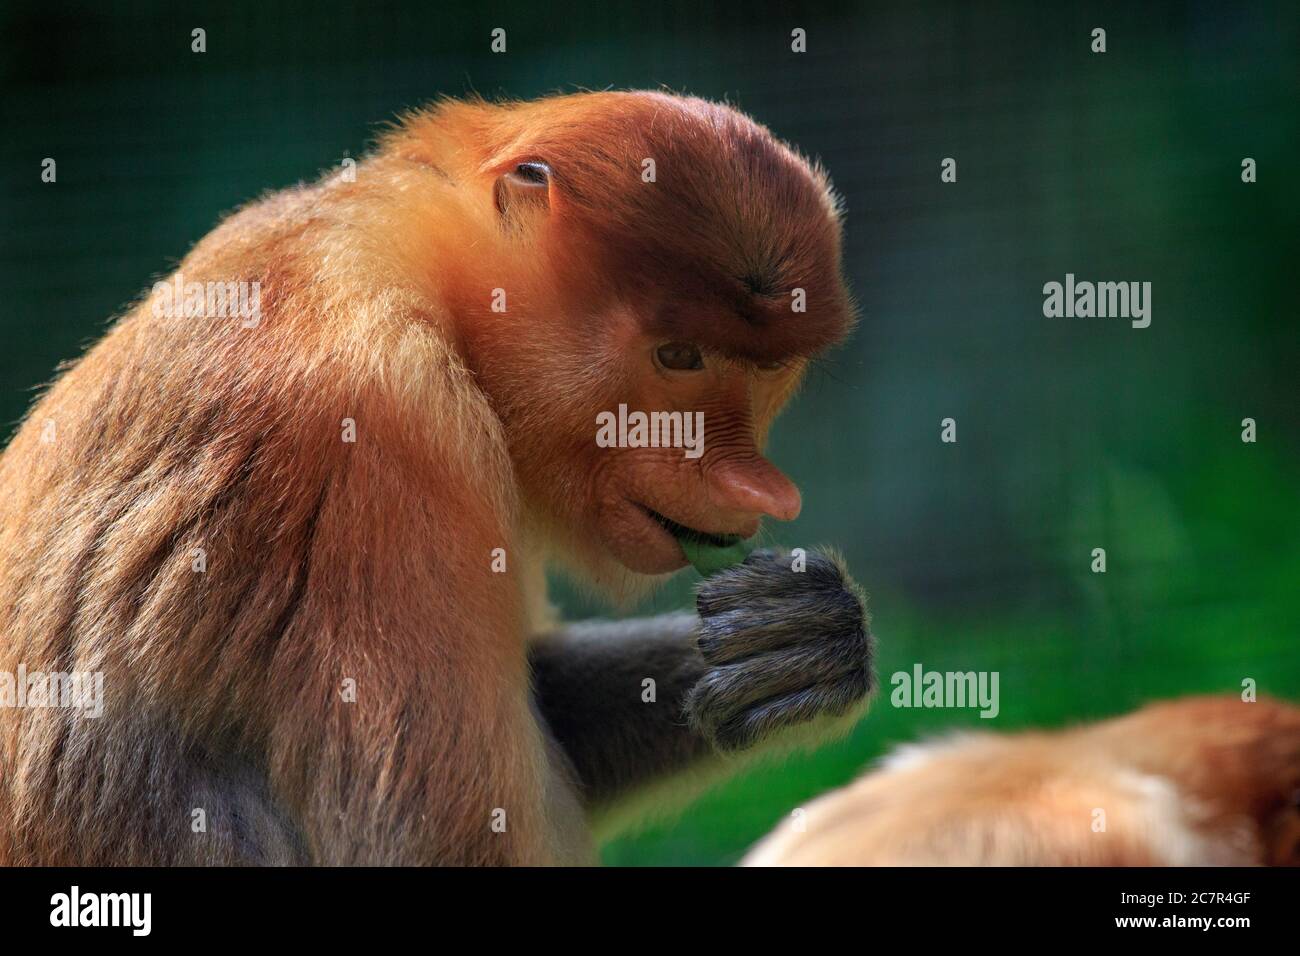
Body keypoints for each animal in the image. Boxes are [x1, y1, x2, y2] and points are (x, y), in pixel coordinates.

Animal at [0, 91, 871, 865]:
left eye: (771, 370)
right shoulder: (382, 434)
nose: (759, 490)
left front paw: (799, 638)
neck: (414, 275)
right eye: (679, 357)